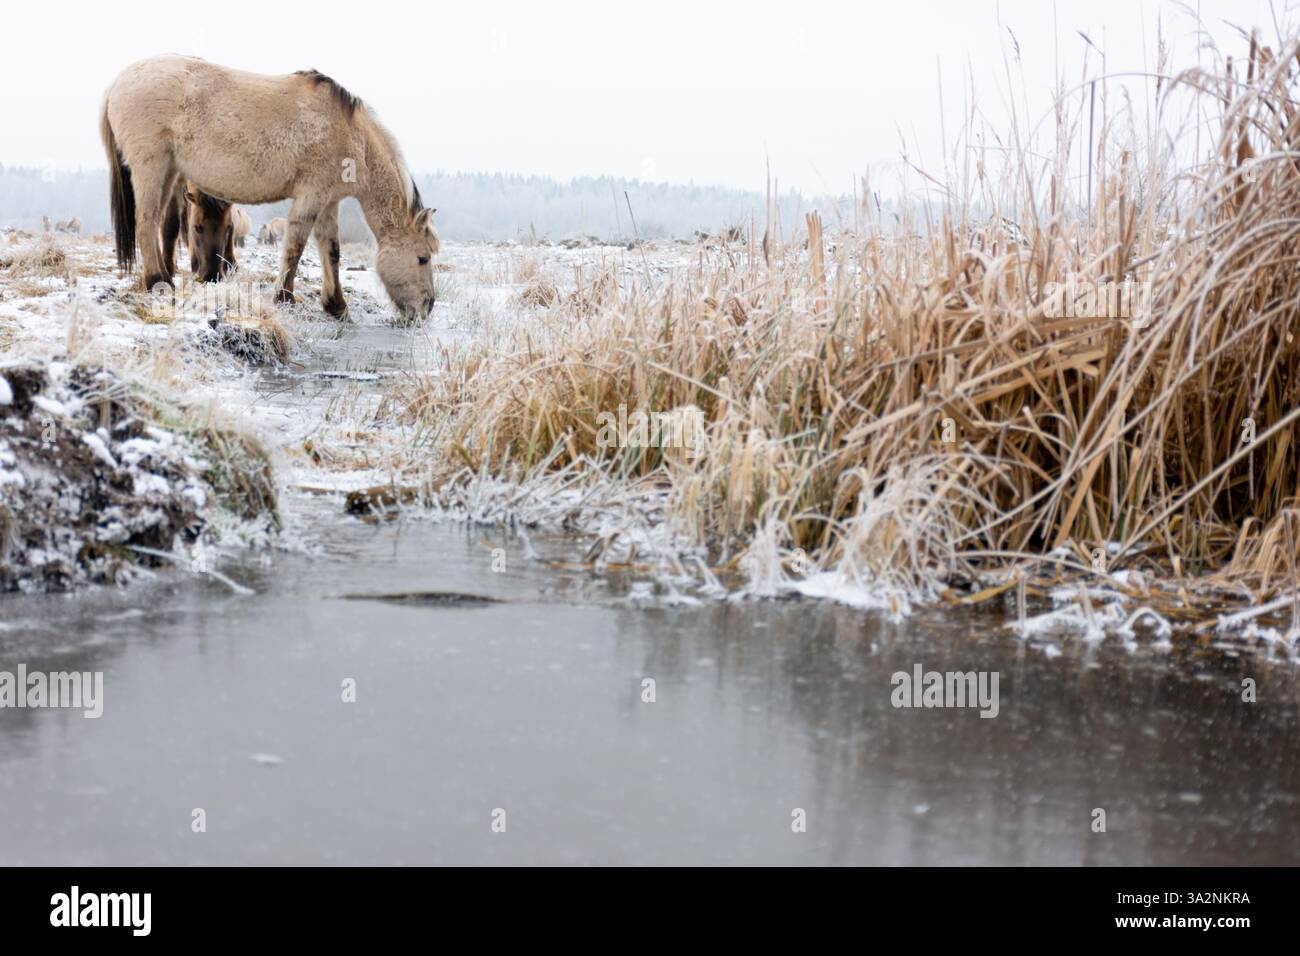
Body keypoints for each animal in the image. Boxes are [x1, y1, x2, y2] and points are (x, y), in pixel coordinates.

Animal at [101, 56, 439, 320]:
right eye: (423, 258)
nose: (428, 307)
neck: (350, 132)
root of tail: (118, 81)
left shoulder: (328, 203)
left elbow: (331, 251)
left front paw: (336, 306)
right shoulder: (310, 197)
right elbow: (295, 246)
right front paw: (285, 297)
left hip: (170, 171)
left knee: (160, 223)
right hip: (151, 167)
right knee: (146, 221)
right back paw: (158, 281)